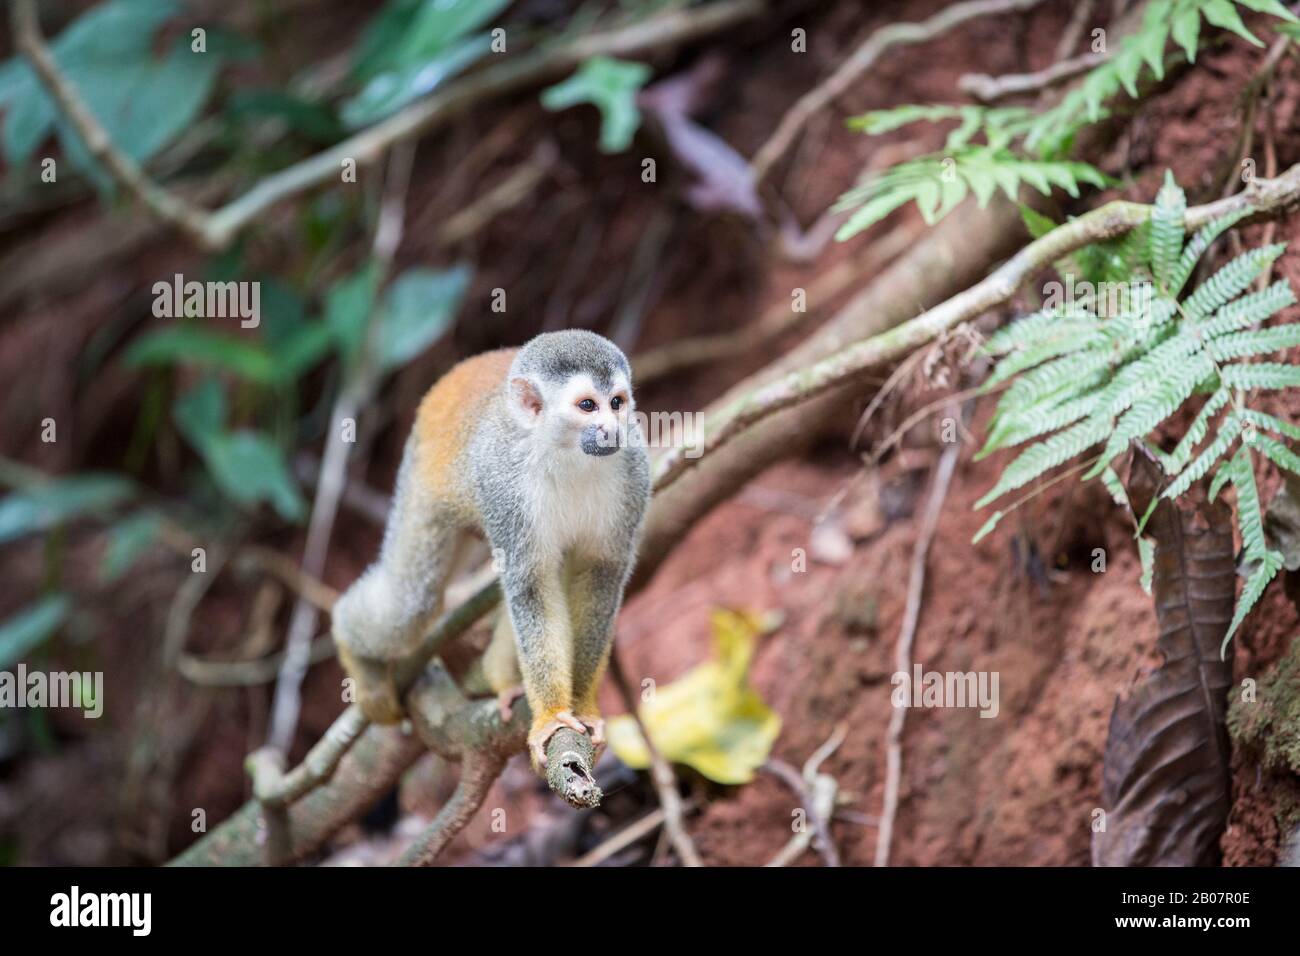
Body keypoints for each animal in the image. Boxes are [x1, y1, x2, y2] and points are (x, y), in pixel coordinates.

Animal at [332, 330, 650, 771]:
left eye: (617, 402)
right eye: (588, 405)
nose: (612, 429)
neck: (566, 454)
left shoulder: (634, 470)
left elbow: (600, 574)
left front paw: (584, 708)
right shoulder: (504, 487)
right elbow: (531, 585)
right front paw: (552, 716)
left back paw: (502, 678)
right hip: (423, 486)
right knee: (413, 604)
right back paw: (359, 655)